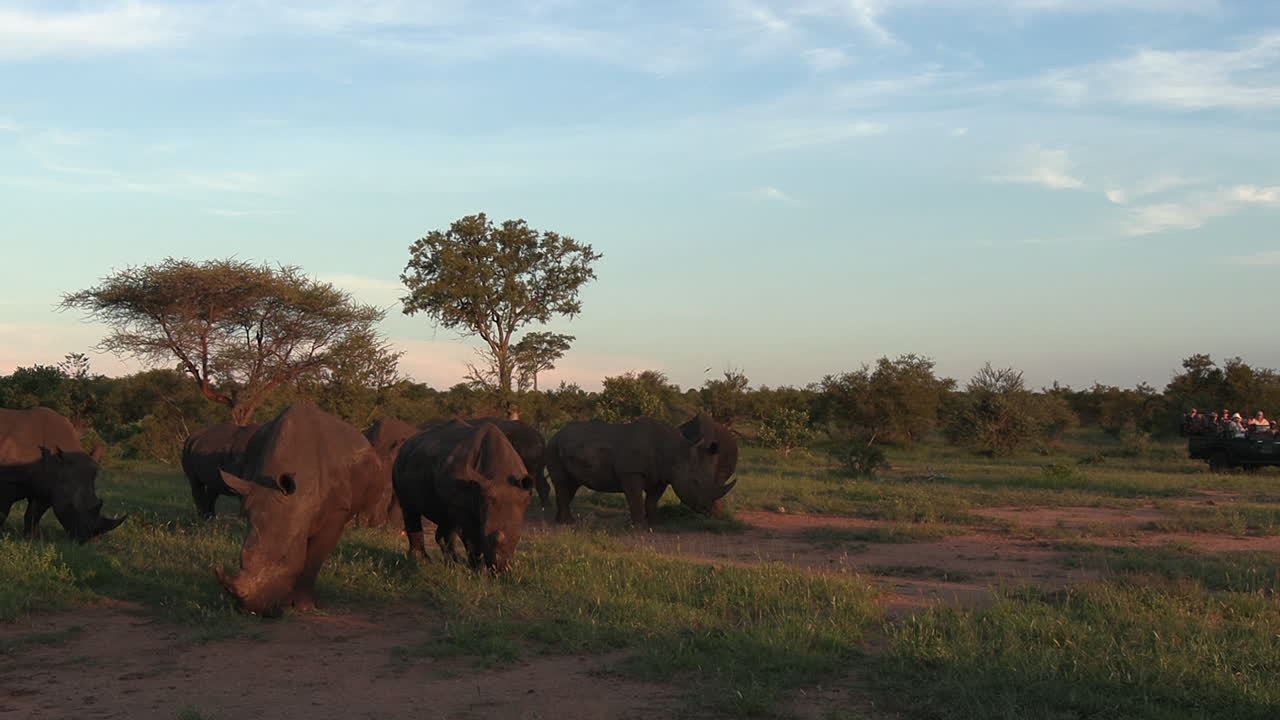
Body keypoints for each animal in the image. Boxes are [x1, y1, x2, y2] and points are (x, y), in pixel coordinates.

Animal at [0, 407, 126, 542]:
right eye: (71, 506)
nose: (88, 540)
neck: (57, 464)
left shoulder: (47, 487)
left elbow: (34, 514)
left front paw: (31, 539)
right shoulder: (7, 480)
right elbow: (3, 512)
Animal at [215, 402, 390, 616]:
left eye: (283, 557)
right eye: (240, 558)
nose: (253, 609)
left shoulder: (336, 512)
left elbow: (313, 559)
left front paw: (304, 607)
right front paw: (288, 603)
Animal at [393, 420, 533, 572]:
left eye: (517, 539)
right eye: (486, 537)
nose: (500, 570)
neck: (499, 475)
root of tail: (409, 441)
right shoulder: (463, 505)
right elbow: (472, 538)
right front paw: (478, 570)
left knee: (445, 517)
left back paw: (453, 564)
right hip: (400, 460)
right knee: (409, 507)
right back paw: (420, 561)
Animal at [546, 417, 736, 525]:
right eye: (695, 482)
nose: (707, 509)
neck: (675, 451)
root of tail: (555, 434)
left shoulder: (662, 475)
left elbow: (652, 500)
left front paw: (656, 523)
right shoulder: (631, 472)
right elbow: (635, 497)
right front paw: (639, 527)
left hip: (564, 446)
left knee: (571, 484)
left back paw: (559, 521)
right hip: (553, 447)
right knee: (562, 482)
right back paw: (567, 523)